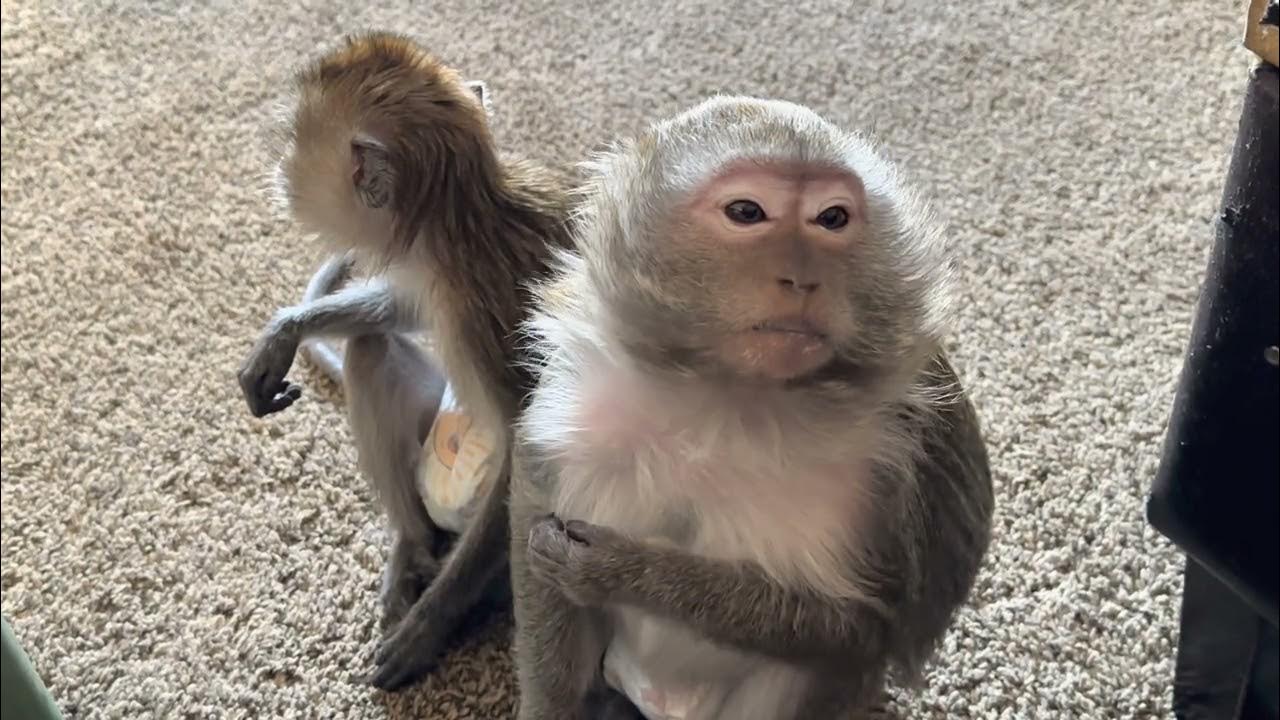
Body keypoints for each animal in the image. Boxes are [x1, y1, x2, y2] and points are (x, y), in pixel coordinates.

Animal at [235, 31, 575, 691]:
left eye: (296, 143)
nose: (282, 170)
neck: (464, 217)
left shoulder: (485, 313)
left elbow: (530, 458)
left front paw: (427, 629)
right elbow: (406, 310)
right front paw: (287, 328)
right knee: (368, 349)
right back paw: (413, 545)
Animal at [507, 96, 995, 720]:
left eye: (831, 219)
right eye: (747, 211)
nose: (802, 278)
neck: (725, 402)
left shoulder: (882, 478)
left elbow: (860, 631)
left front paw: (624, 572)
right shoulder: (574, 404)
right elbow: (530, 511)